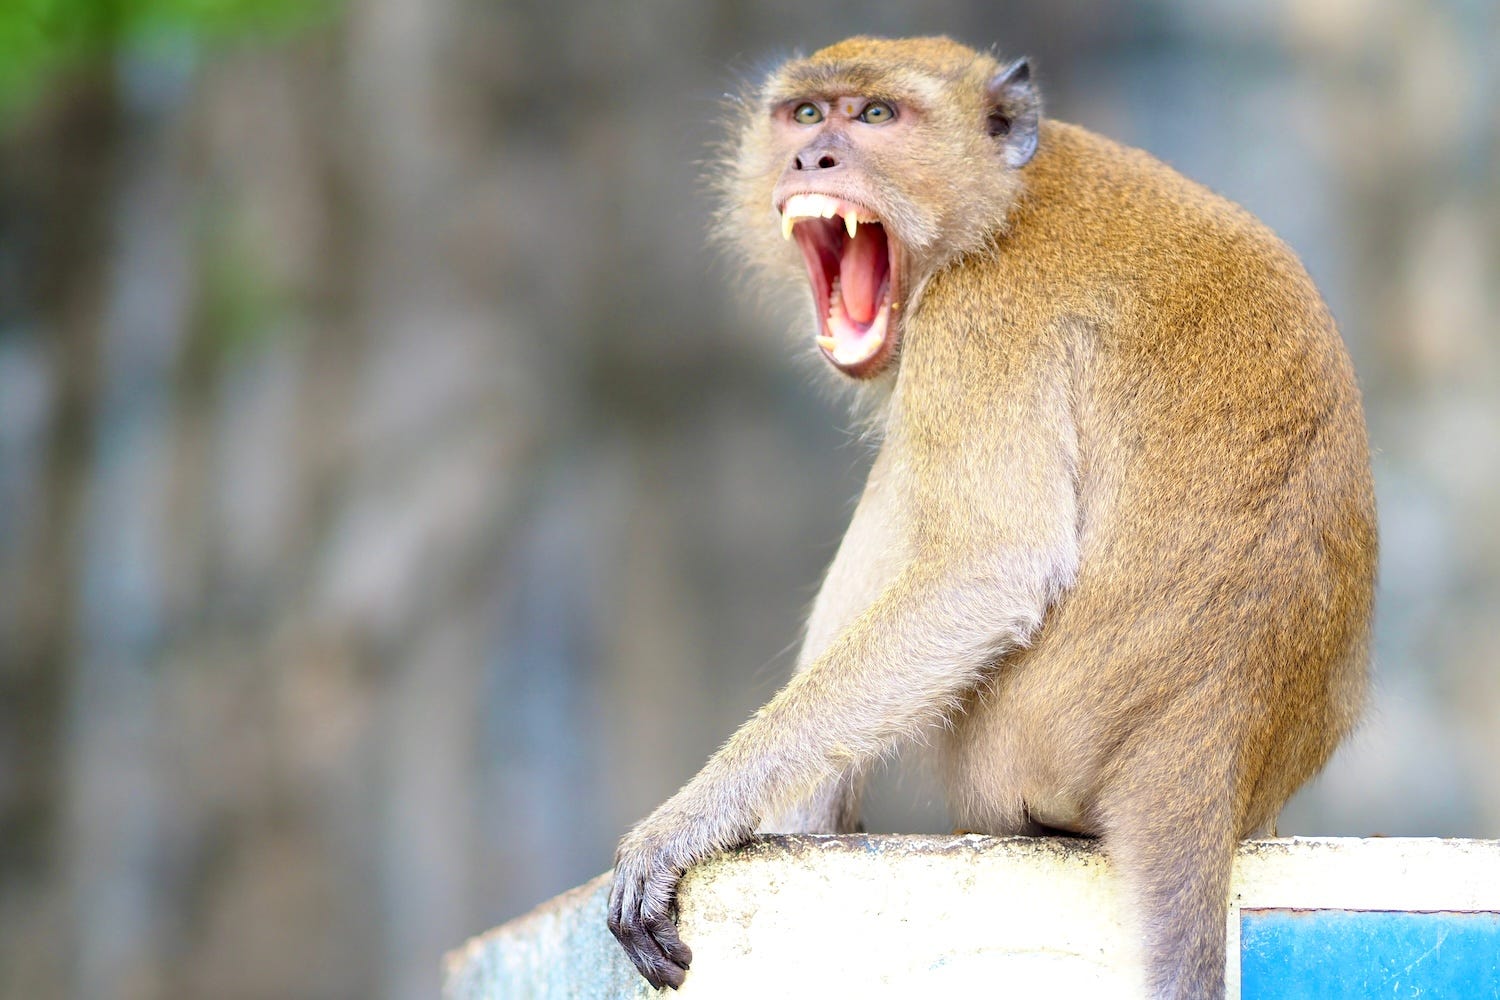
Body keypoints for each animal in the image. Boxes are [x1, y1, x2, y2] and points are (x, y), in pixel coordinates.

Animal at [607, 36, 1375, 999]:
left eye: (877, 116)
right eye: (807, 114)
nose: (811, 159)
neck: (1004, 199)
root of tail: (1209, 743)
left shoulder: (978, 313)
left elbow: (991, 568)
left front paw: (680, 827)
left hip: (1020, 754)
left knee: (909, 482)